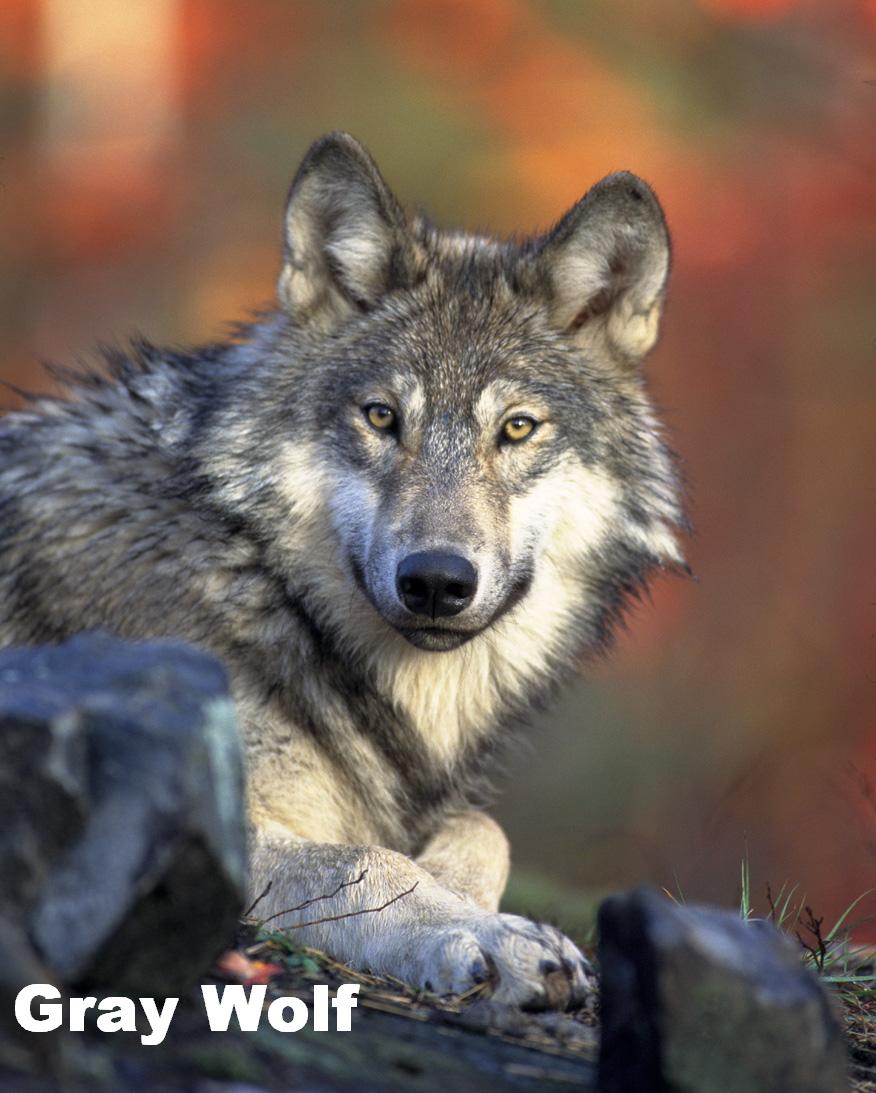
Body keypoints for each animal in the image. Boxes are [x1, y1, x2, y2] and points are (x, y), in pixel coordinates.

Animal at [0, 133, 684, 1010]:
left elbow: (482, 828)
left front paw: (467, 895)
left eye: (517, 428)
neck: (260, 582)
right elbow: (366, 859)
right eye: (382, 417)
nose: (436, 580)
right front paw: (487, 934)